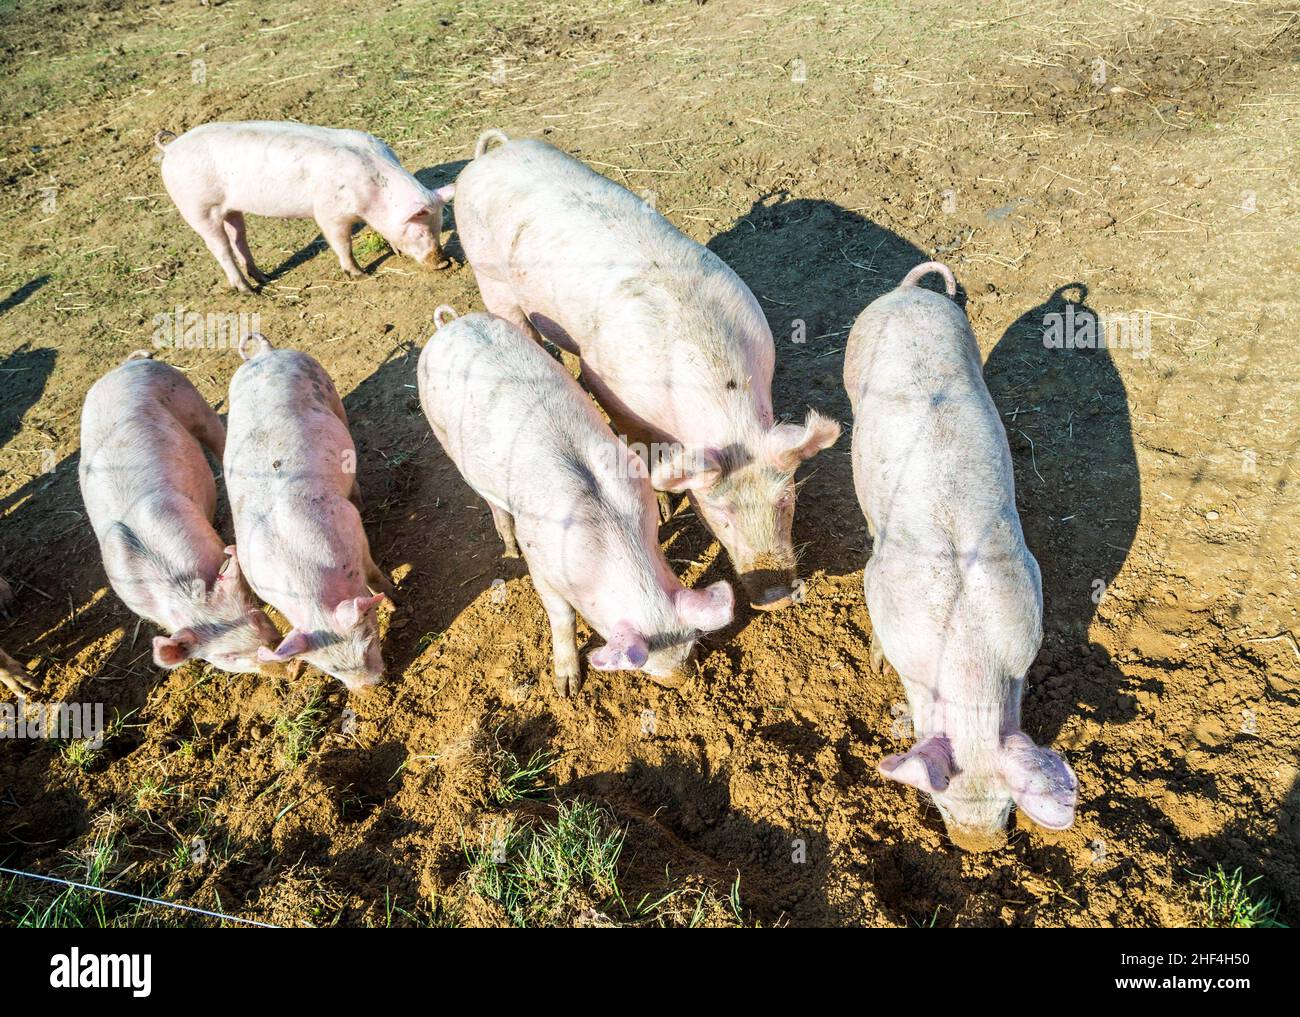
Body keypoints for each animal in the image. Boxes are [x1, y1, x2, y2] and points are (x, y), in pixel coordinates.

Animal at [155, 121, 453, 293]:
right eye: (420, 231)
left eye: (439, 227)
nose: (443, 262)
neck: (375, 191)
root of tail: (172, 148)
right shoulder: (329, 213)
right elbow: (341, 243)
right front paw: (359, 273)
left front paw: (395, 251)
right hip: (198, 209)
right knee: (220, 249)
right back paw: (248, 290)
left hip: (230, 209)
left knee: (239, 238)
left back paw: (263, 278)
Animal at [224, 333, 391, 692]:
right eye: (331, 670)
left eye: (369, 641)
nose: (368, 689)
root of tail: (265, 354)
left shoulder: (350, 525)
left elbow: (373, 575)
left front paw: (394, 595)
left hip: (327, 387)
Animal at [417, 307, 734, 695]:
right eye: (649, 669)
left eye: (691, 643)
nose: (685, 681)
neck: (610, 533)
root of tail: (450, 325)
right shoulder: (541, 562)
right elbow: (562, 618)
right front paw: (566, 689)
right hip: (444, 434)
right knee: (490, 503)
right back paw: (509, 550)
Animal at [448, 130, 839, 611]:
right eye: (719, 513)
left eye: (786, 499)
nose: (777, 597)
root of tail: (492, 154)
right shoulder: (608, 386)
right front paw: (667, 506)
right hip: (492, 281)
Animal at [844, 261, 1078, 851]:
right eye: (941, 801)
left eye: (1007, 807)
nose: (977, 847)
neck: (970, 651)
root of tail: (907, 294)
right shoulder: (878, 587)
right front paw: (875, 663)